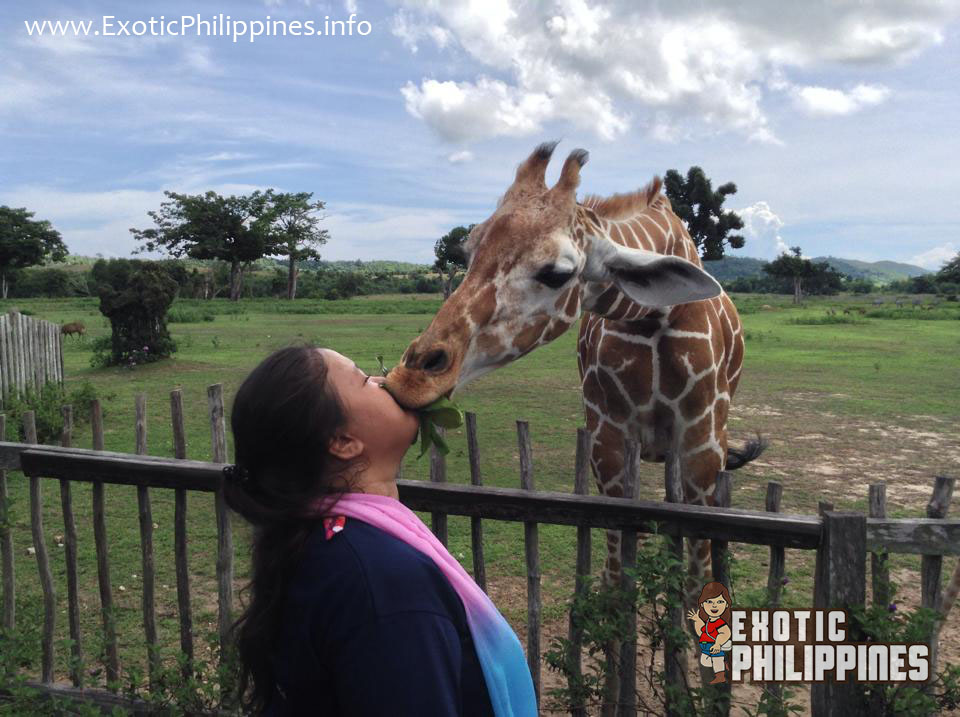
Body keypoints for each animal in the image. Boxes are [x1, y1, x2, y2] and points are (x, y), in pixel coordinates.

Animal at [385, 141, 763, 593]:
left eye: (556, 273)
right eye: (469, 251)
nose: (410, 378)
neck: (654, 317)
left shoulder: (702, 441)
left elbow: (696, 579)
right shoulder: (606, 437)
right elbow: (615, 577)